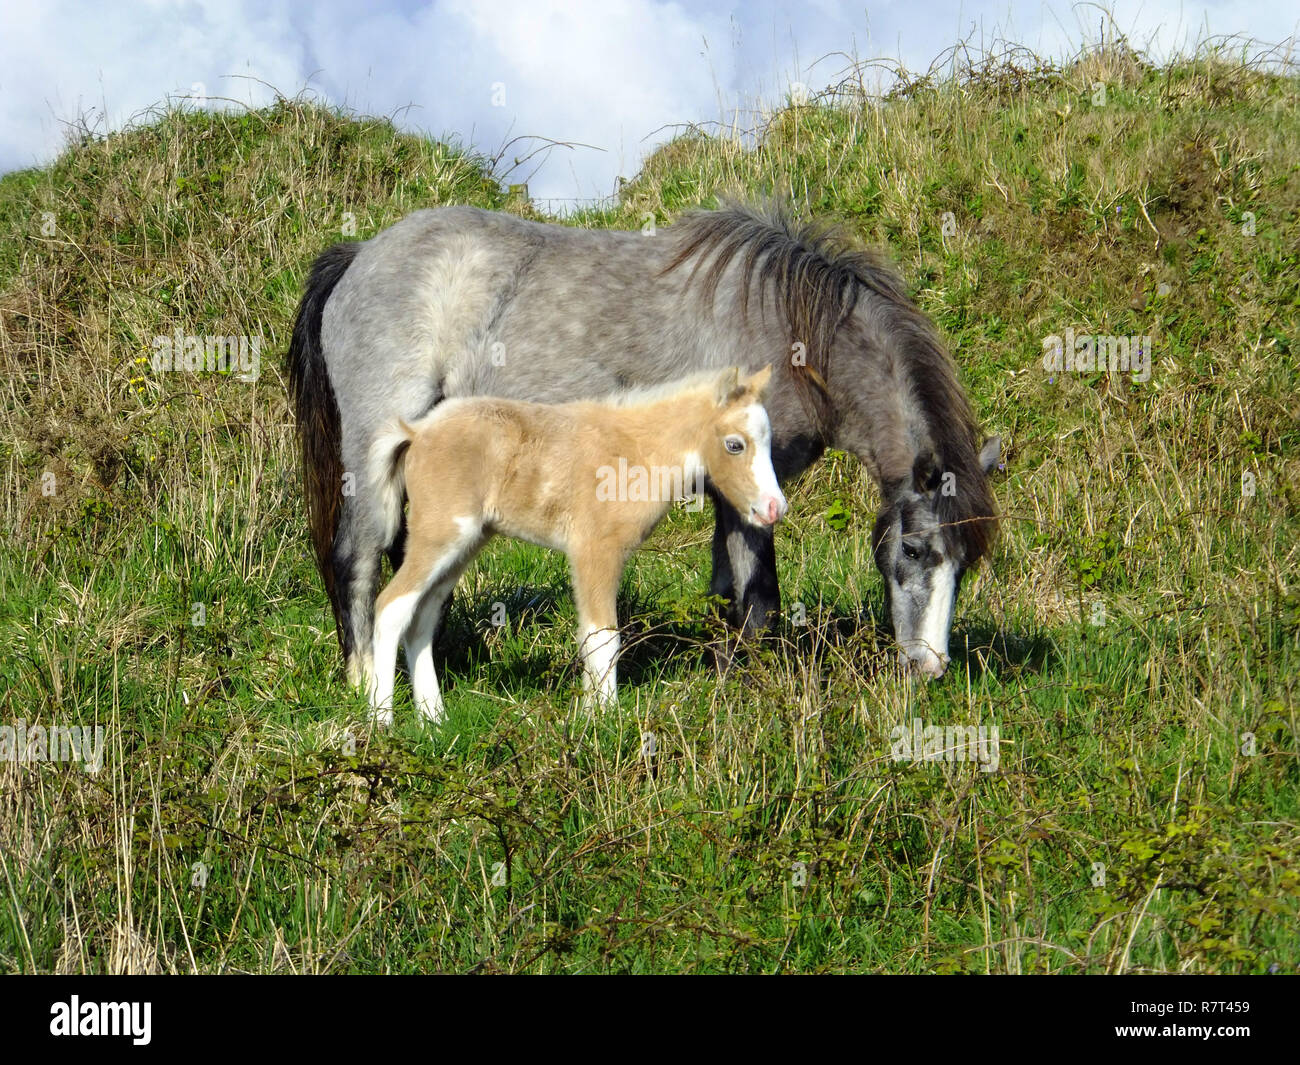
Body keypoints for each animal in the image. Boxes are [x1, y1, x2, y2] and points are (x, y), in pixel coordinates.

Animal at [287, 201, 999, 685]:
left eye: (965, 566)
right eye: (915, 550)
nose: (930, 667)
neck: (792, 333)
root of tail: (359, 255)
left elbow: (730, 588)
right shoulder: (746, 492)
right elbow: (758, 595)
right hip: (374, 457)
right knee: (358, 557)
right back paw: (365, 681)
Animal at [364, 365, 784, 724]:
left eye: (768, 443)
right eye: (735, 445)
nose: (774, 508)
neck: (635, 452)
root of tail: (417, 431)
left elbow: (591, 637)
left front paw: (590, 716)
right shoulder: (596, 551)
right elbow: (604, 637)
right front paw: (608, 723)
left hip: (466, 543)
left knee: (421, 617)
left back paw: (434, 720)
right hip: (440, 535)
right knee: (390, 607)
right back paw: (382, 722)